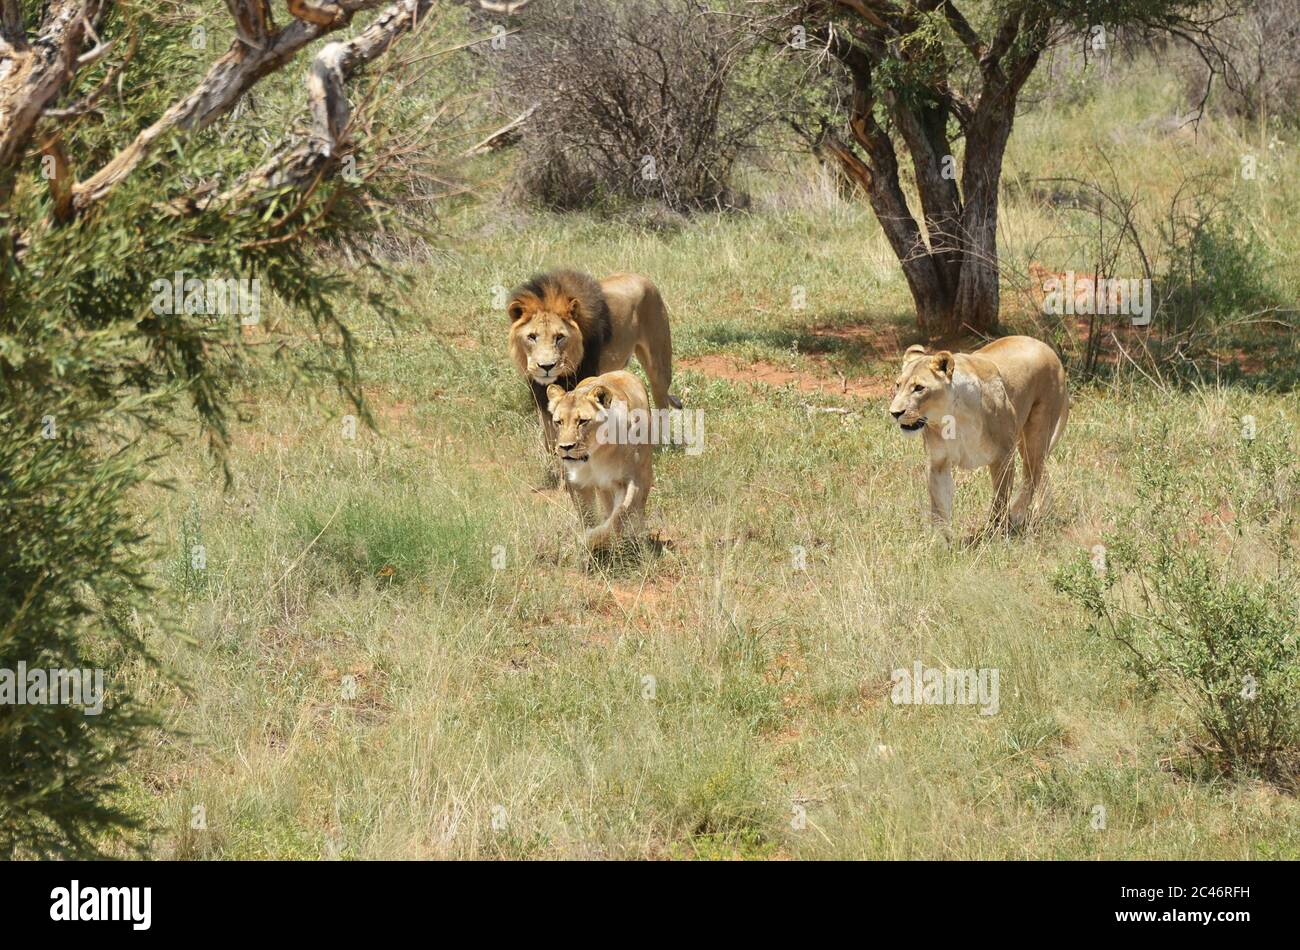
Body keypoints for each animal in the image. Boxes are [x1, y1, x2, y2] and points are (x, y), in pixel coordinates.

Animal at [508, 269, 679, 451]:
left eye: (559, 337)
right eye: (532, 337)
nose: (546, 366)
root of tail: (642, 277)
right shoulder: (539, 393)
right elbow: (551, 434)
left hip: (658, 365)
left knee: (662, 405)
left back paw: (664, 445)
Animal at [546, 370, 654, 549]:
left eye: (583, 421)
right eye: (558, 422)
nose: (566, 447)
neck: (595, 455)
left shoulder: (629, 481)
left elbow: (618, 516)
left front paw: (593, 538)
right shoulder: (577, 482)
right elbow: (587, 515)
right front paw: (588, 542)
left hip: (644, 471)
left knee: (638, 508)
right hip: (603, 487)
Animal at [888, 336, 1068, 542]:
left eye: (919, 388)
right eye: (898, 385)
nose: (894, 413)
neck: (952, 417)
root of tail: (1045, 346)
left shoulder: (1003, 456)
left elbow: (1000, 498)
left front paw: (997, 533)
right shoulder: (938, 463)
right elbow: (939, 506)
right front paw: (940, 543)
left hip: (1036, 434)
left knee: (1032, 475)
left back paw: (1019, 513)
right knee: (1041, 472)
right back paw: (1041, 510)